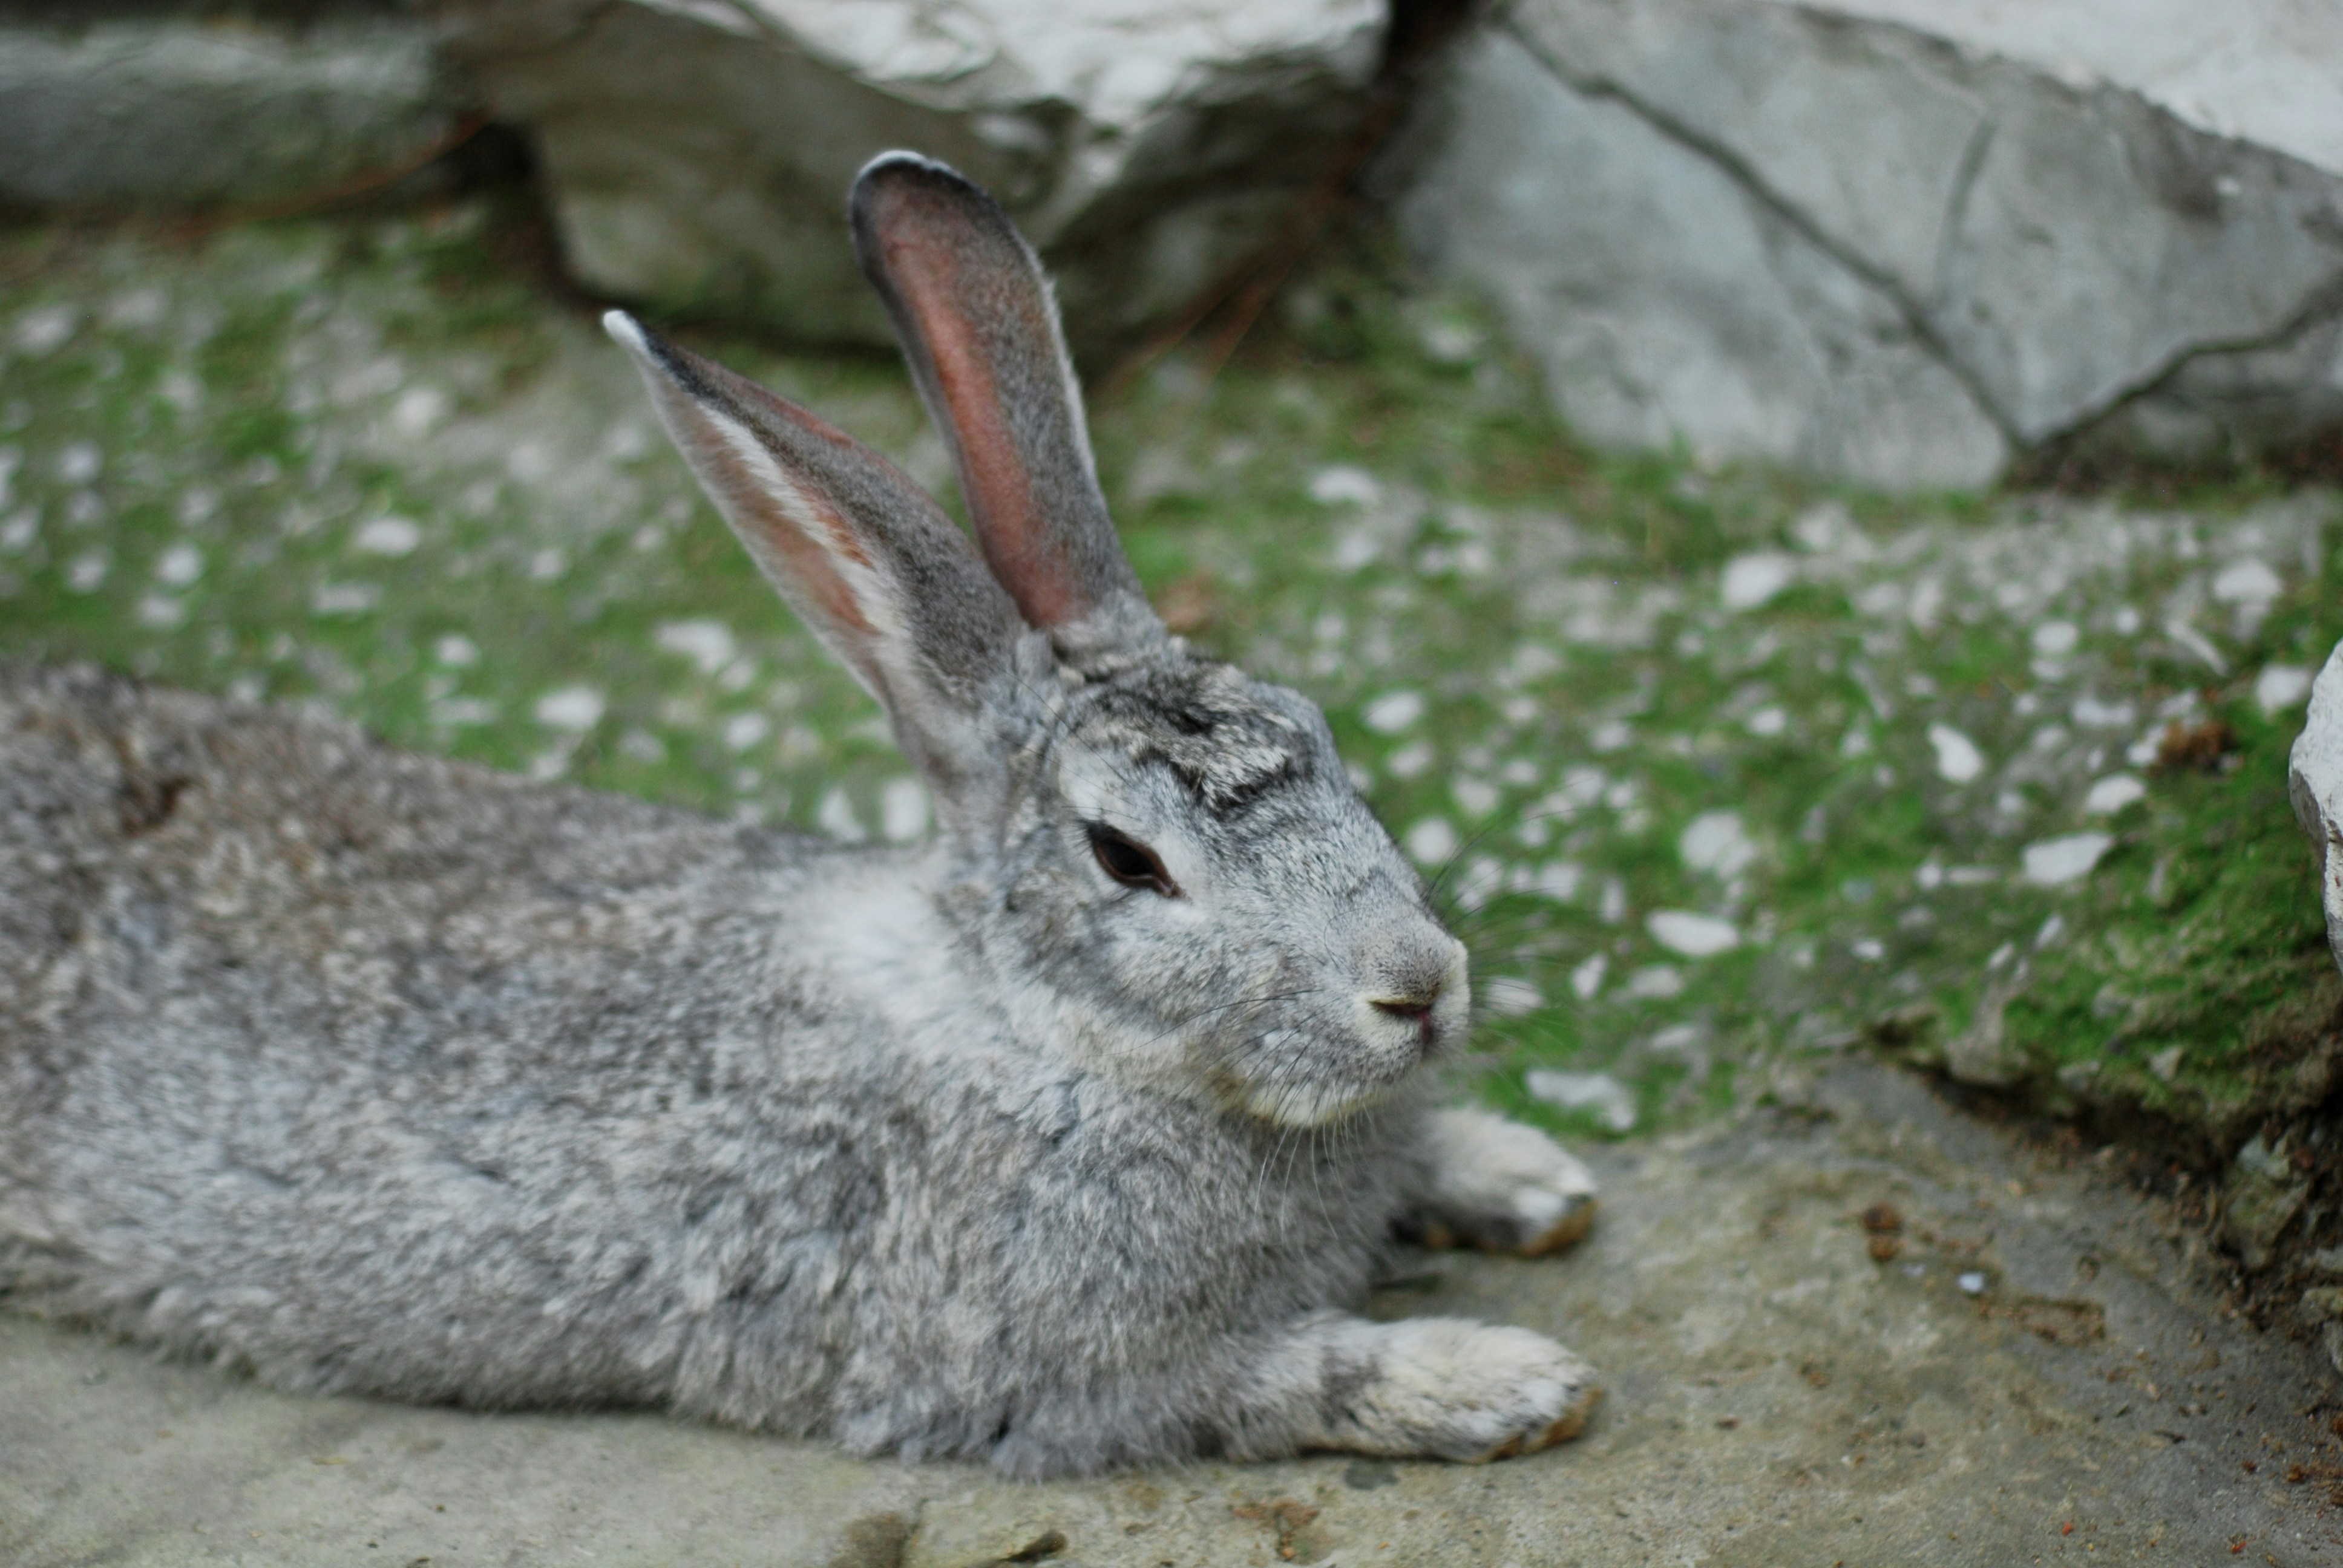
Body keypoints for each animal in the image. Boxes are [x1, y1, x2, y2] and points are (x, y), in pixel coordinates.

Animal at [0, 152, 1602, 1479]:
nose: (1419, 990)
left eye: (1321, 734)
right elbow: (1287, 1379)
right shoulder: (1050, 1376)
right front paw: (1510, 1380)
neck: (1037, 1033)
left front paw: (1532, 1179)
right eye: (1127, 859)